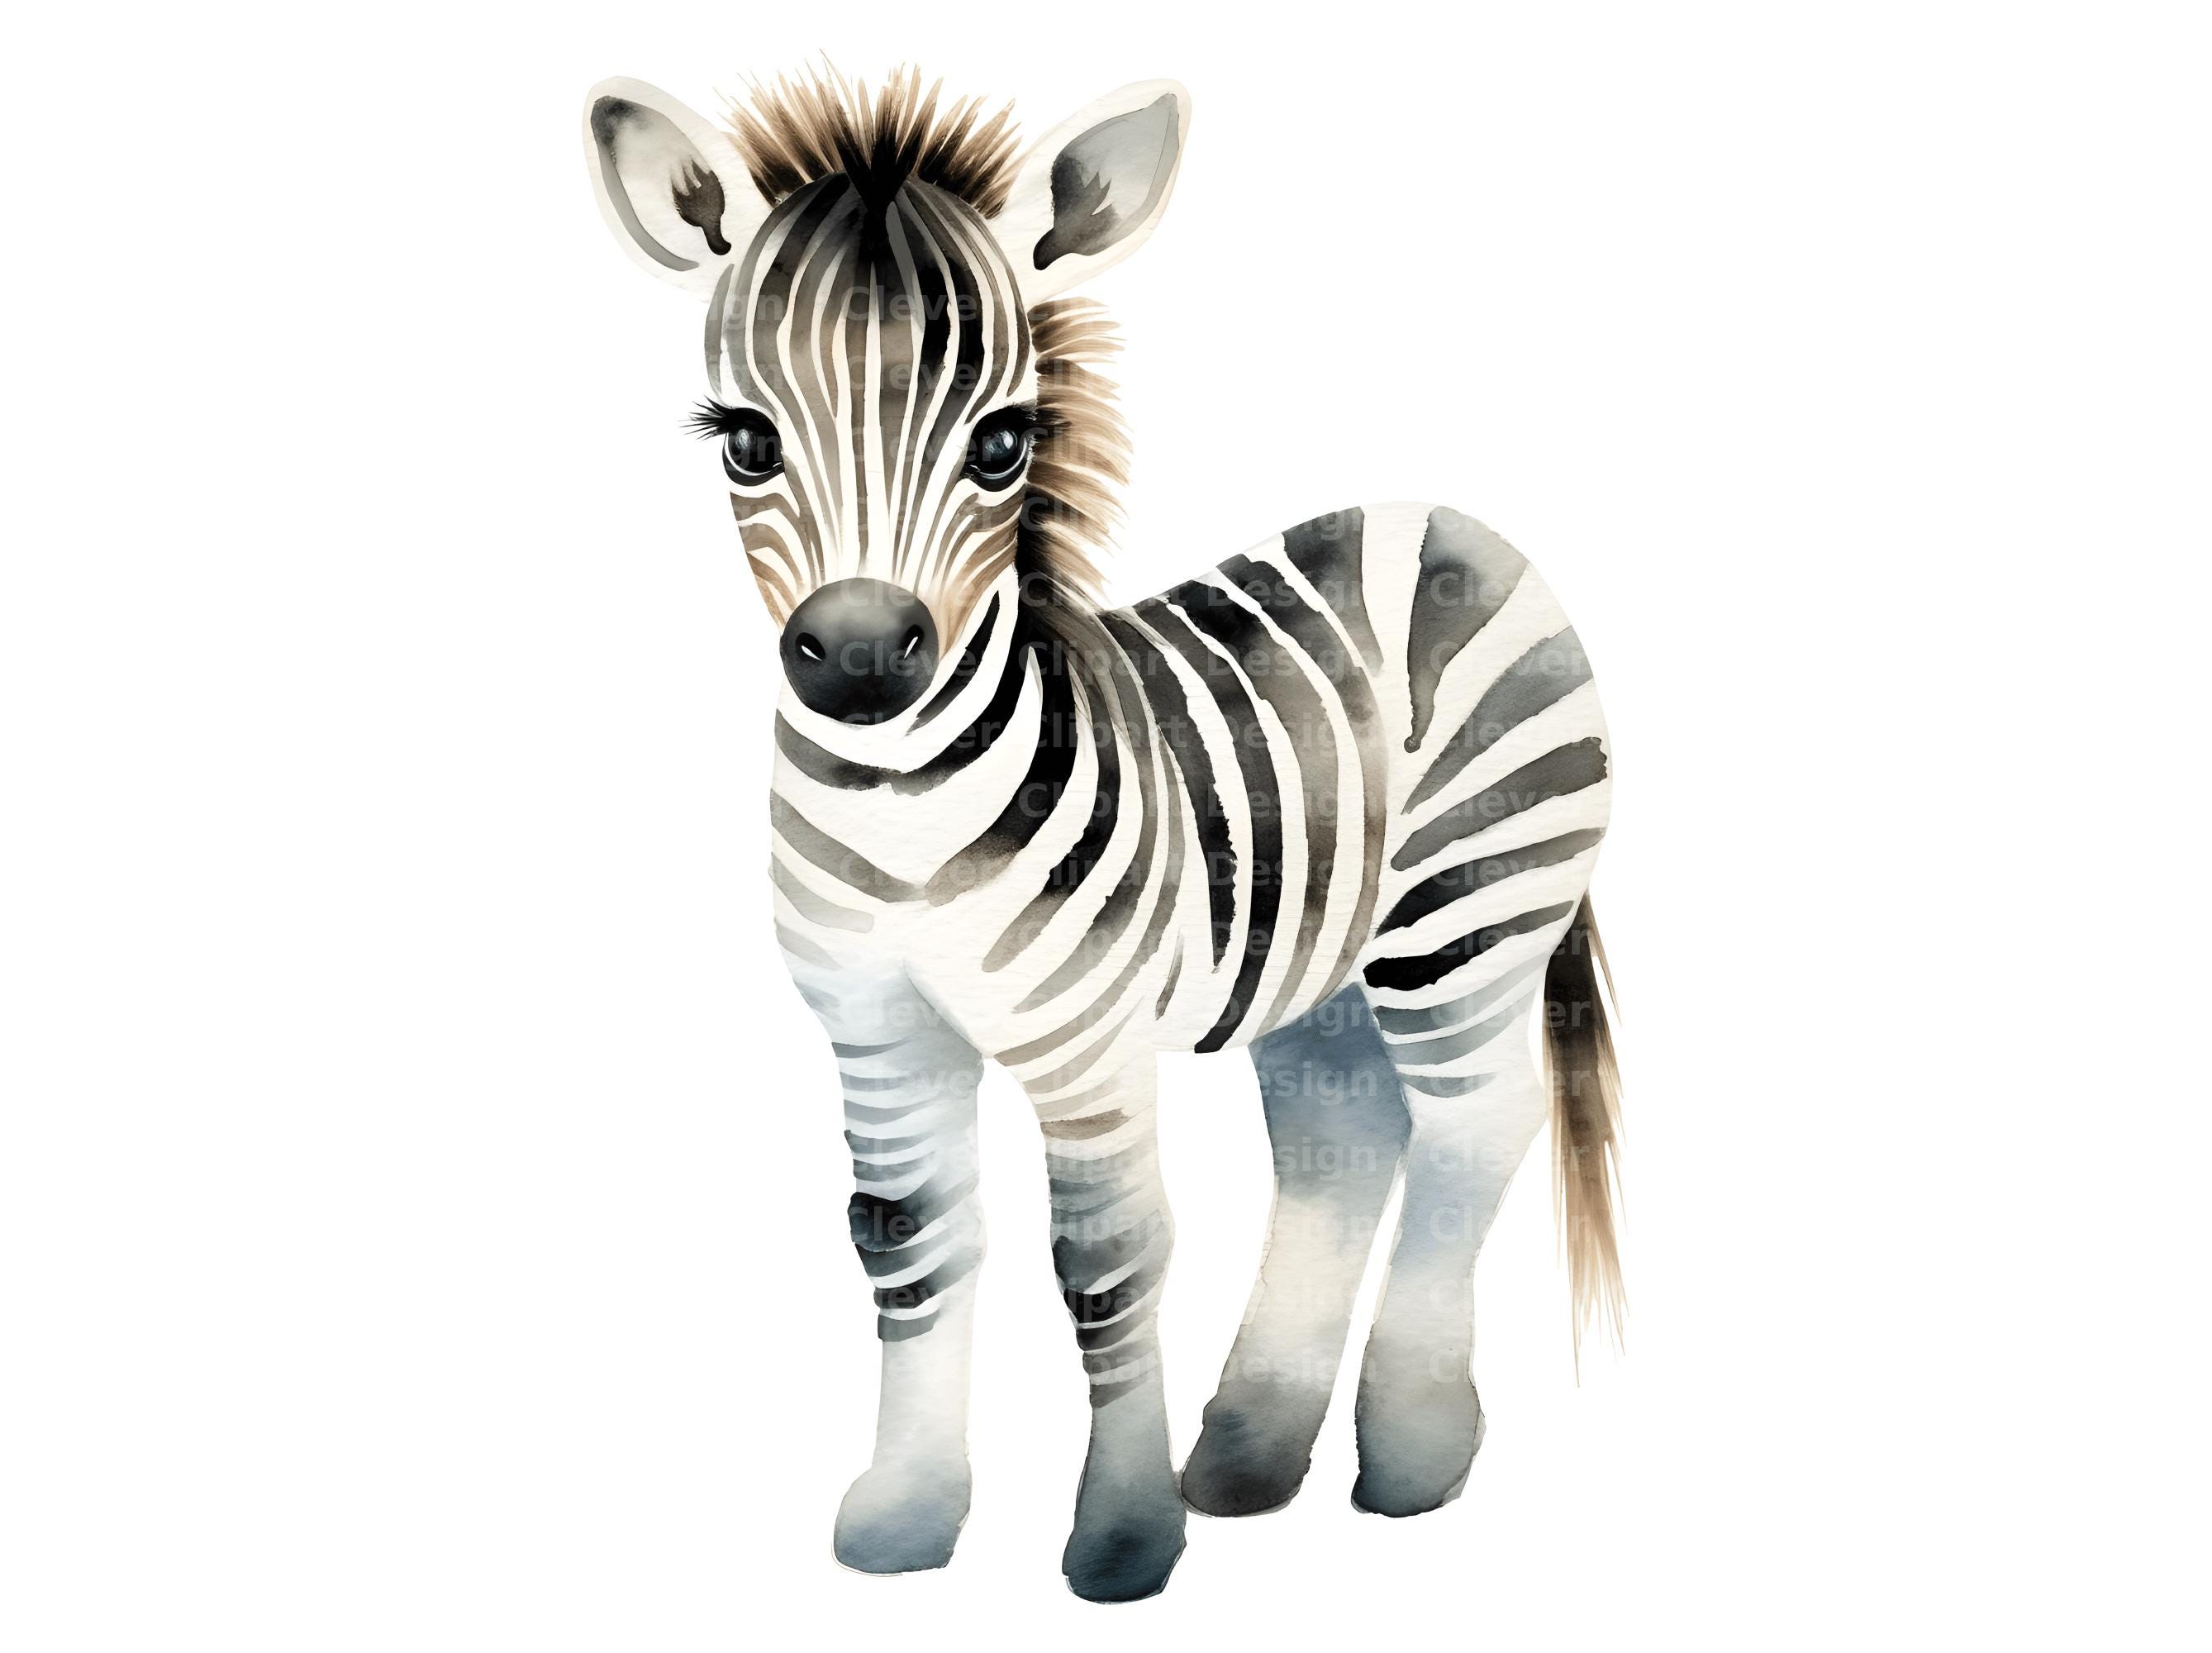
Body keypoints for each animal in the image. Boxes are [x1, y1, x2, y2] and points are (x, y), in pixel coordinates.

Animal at [582, 65, 1623, 1603]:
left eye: (1003, 442)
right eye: (745, 440)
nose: (859, 663)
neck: (901, 819)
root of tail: (1455, 519)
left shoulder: (1086, 1045)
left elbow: (1107, 1259)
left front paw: (1124, 1537)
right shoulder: (874, 1033)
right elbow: (903, 1243)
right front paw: (906, 1514)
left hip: (1467, 919)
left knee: (1474, 1130)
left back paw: (1411, 1447)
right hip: (1316, 959)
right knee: (1343, 1137)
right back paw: (1250, 1449)